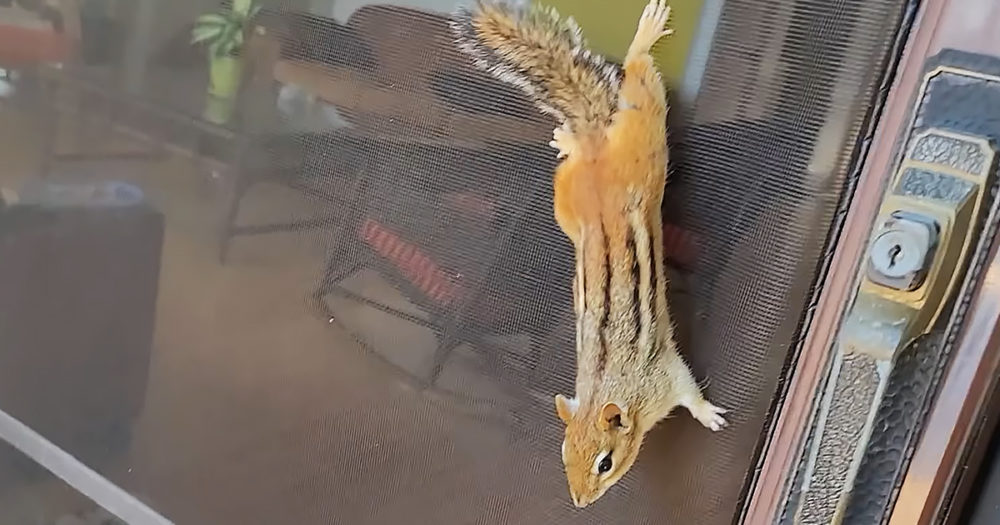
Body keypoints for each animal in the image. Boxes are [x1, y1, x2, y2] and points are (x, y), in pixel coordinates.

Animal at [452, 0, 728, 508]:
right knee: (586, 143)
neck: (611, 388)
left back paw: (644, 36)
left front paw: (707, 414)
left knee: (641, 81)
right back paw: (572, 139)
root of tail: (601, 158)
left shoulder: (665, 378)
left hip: (646, 141)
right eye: (563, 453)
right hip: (565, 202)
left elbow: (690, 391)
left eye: (605, 462)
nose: (579, 502)